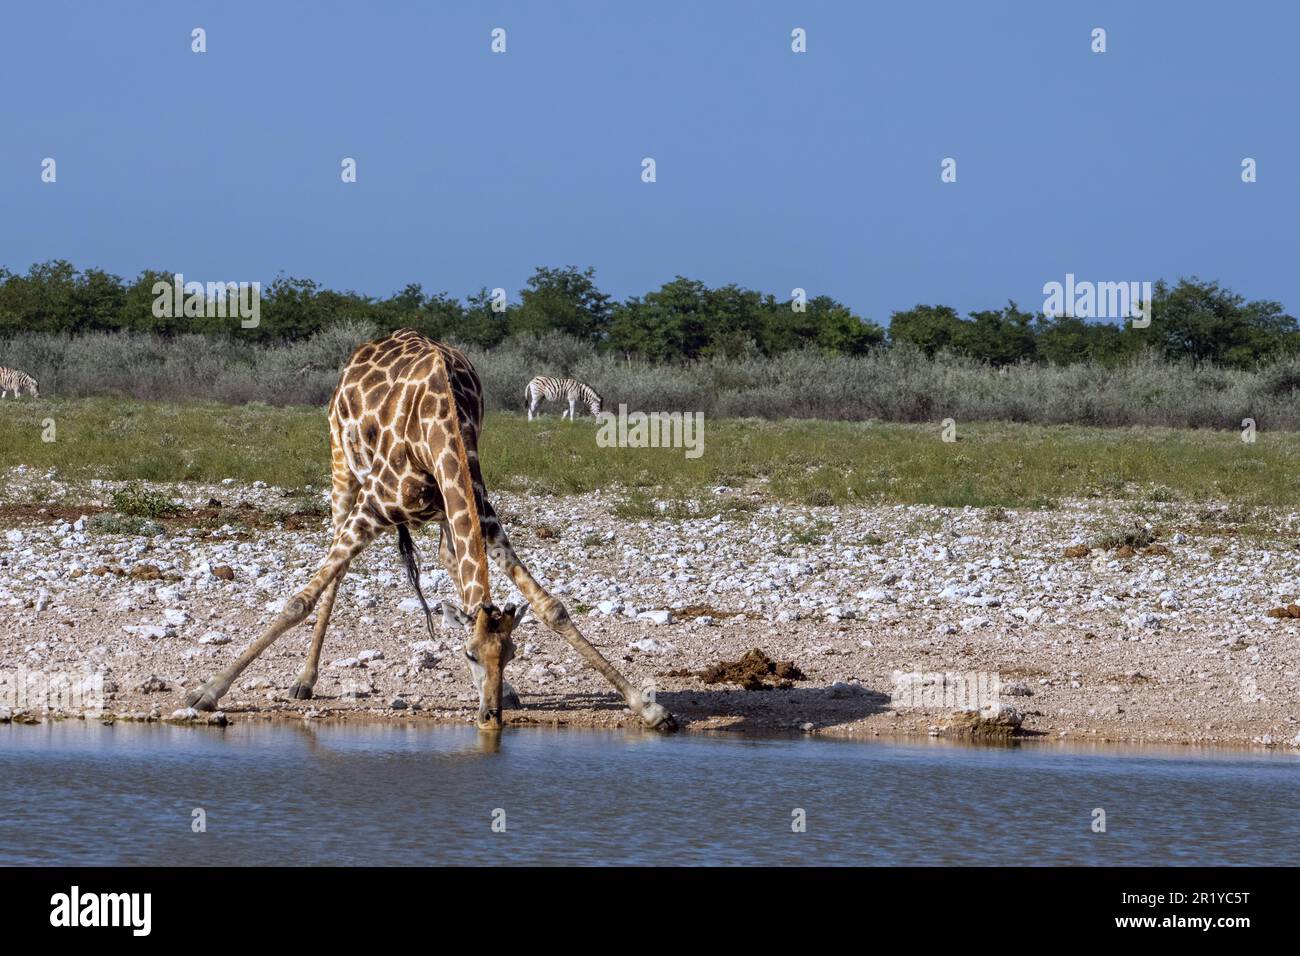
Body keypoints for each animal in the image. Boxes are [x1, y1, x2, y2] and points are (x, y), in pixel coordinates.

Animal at [184, 328, 676, 732]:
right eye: (468, 655)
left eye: (511, 655)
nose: (491, 717)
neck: (437, 434)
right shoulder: (373, 506)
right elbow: (297, 601)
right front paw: (206, 692)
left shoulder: (483, 513)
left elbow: (550, 607)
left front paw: (649, 709)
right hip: (342, 467)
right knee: (336, 571)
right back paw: (304, 680)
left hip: (442, 515)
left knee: (449, 562)